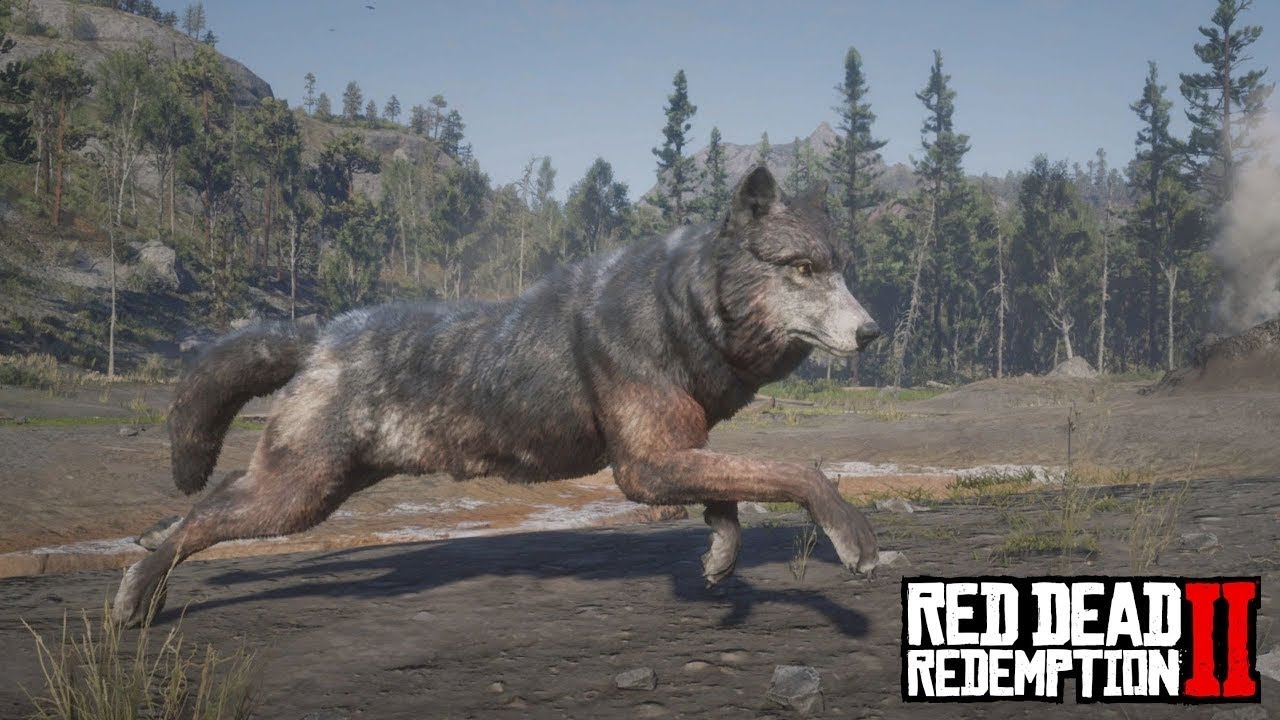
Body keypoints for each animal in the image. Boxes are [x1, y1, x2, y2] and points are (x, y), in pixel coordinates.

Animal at [112, 166, 882, 627]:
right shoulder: (644, 469)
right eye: (803, 270)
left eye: (841, 270)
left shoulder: (672, 455)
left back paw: (147, 545)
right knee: (198, 520)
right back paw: (136, 594)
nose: (872, 331)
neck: (678, 309)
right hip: (296, 498)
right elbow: (799, 473)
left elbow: (731, 501)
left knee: (208, 503)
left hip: (314, 488)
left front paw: (720, 562)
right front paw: (854, 540)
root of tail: (322, 332)